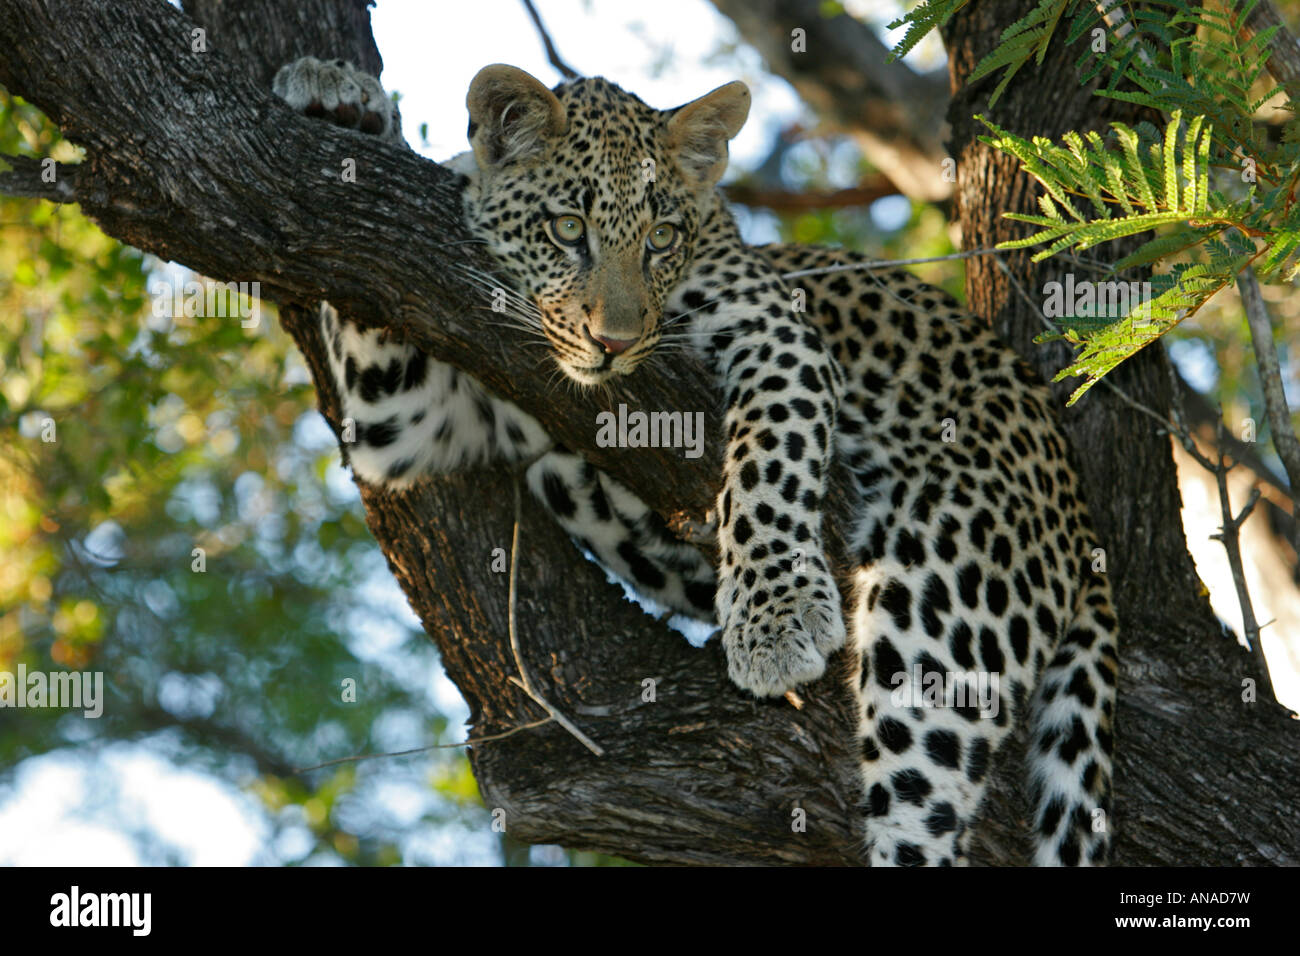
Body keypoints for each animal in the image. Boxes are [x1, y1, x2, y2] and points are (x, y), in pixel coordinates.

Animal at [273, 56, 1119, 866]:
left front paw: (775, 621)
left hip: (943, 591)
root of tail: (1081, 520)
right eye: (566, 228)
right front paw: (342, 101)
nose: (613, 342)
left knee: (924, 806)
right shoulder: (411, 418)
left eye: (661, 239)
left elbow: (769, 462)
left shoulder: (777, 330)